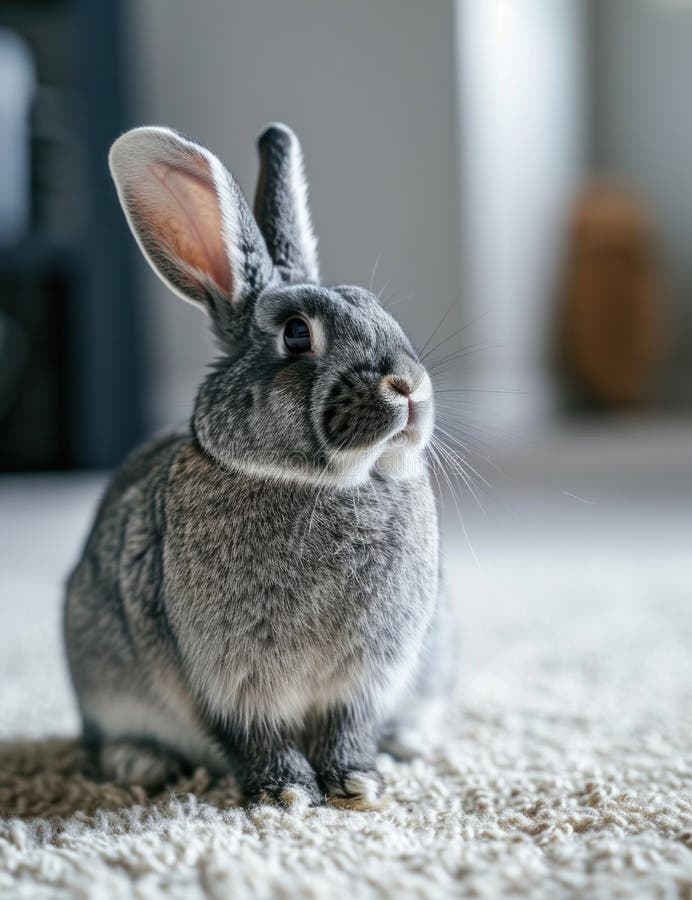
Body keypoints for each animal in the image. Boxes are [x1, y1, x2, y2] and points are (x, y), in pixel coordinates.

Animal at [64, 122, 457, 809]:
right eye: (297, 334)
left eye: (376, 308)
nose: (407, 386)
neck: (325, 482)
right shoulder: (228, 680)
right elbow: (256, 737)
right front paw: (287, 793)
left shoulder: (365, 676)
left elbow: (348, 727)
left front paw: (356, 783)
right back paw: (138, 763)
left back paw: (409, 742)